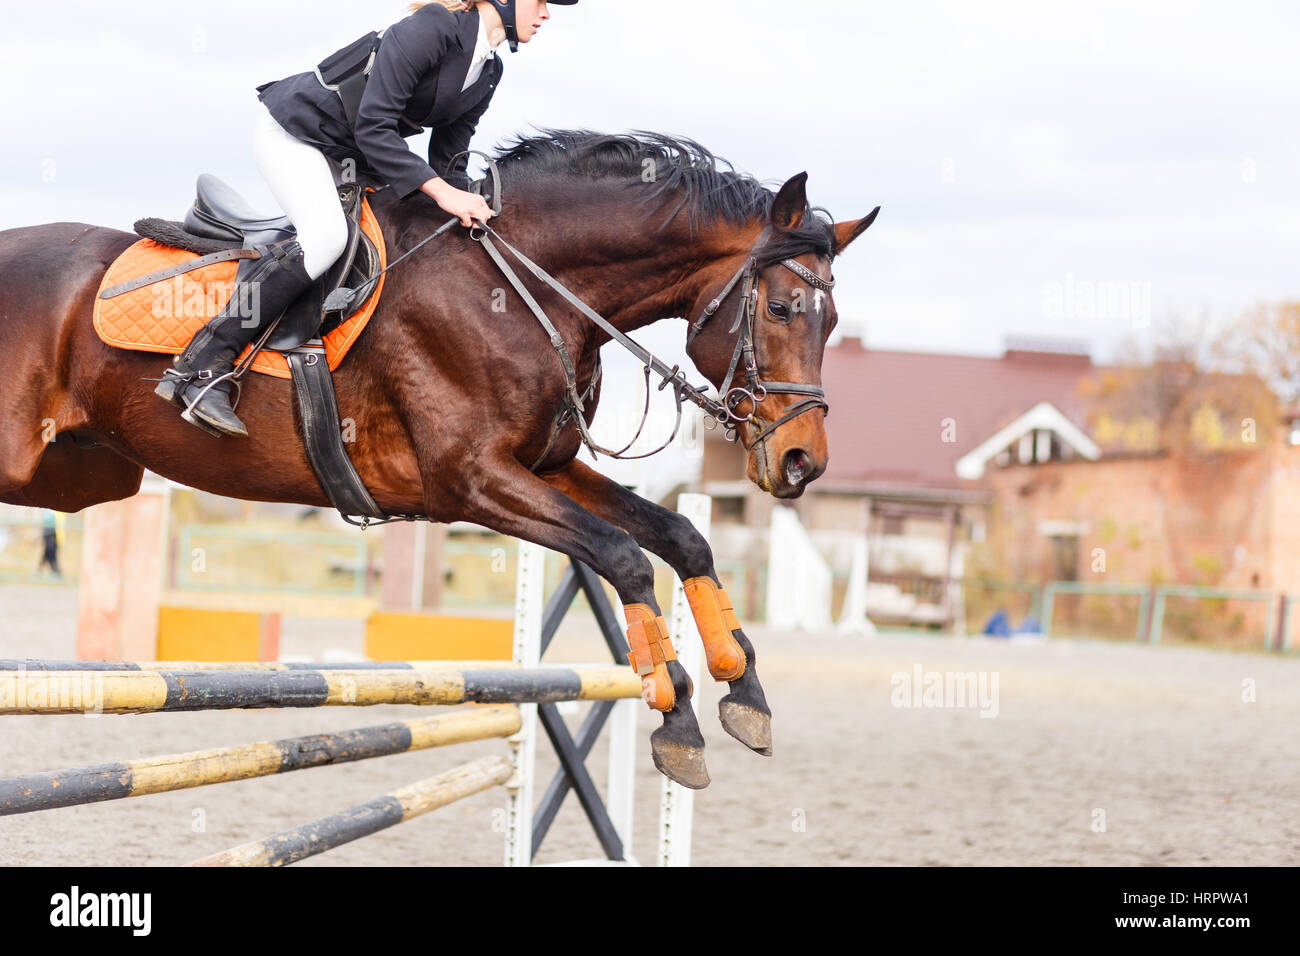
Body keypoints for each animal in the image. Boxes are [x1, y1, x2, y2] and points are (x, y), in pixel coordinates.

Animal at [0, 130, 878, 789]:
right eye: (782, 307)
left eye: (834, 321)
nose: (802, 462)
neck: (531, 287)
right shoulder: (471, 482)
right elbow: (625, 557)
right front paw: (680, 722)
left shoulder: (546, 468)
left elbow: (680, 537)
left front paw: (746, 691)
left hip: (81, 475)